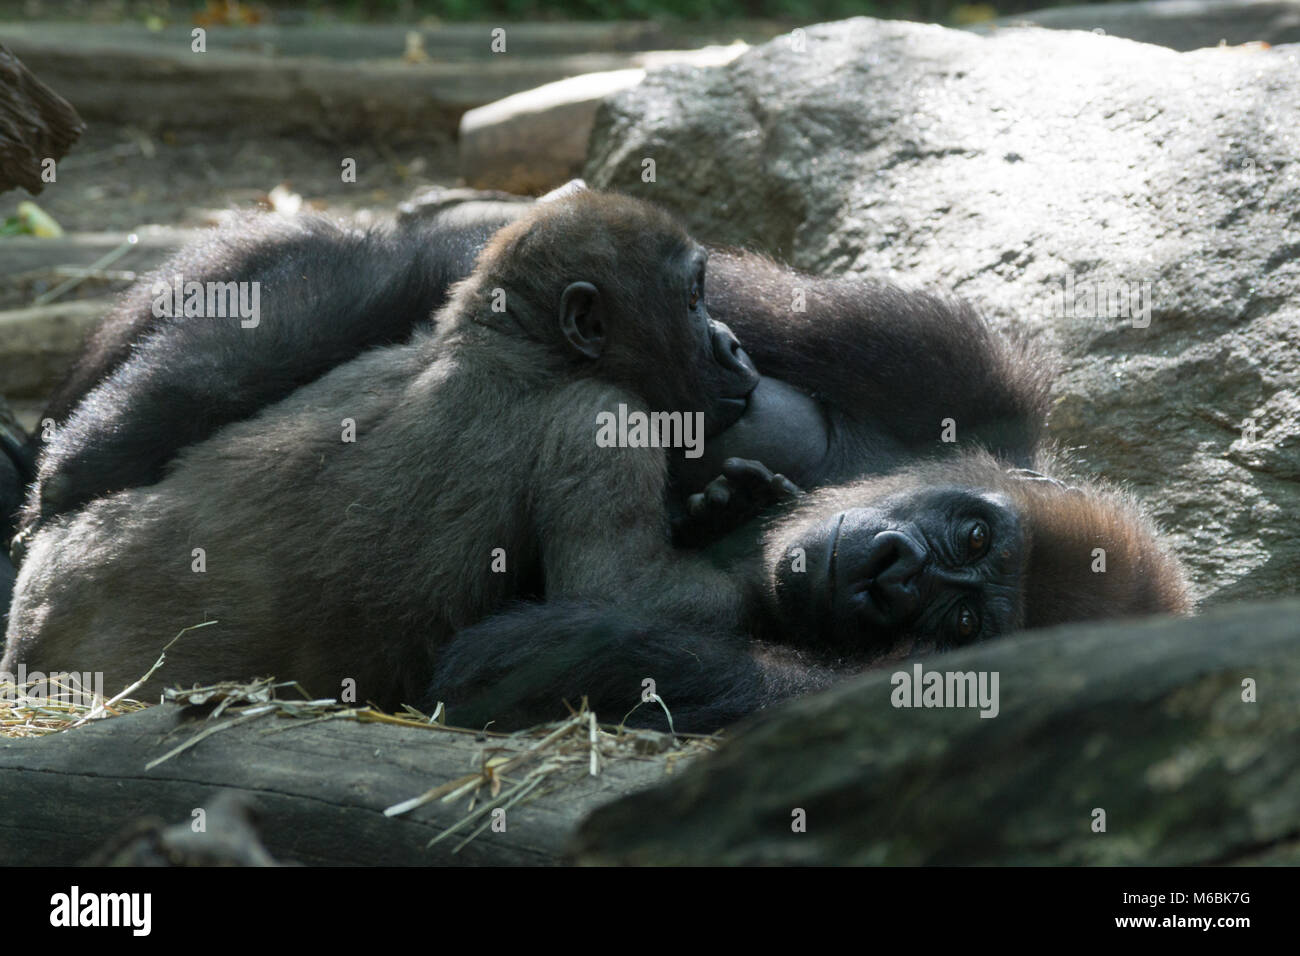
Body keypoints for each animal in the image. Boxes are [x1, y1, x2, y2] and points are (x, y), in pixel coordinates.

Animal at [3, 190, 765, 706]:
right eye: (693, 298)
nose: (733, 345)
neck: (509, 343)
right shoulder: (604, 419)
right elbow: (620, 590)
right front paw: (761, 559)